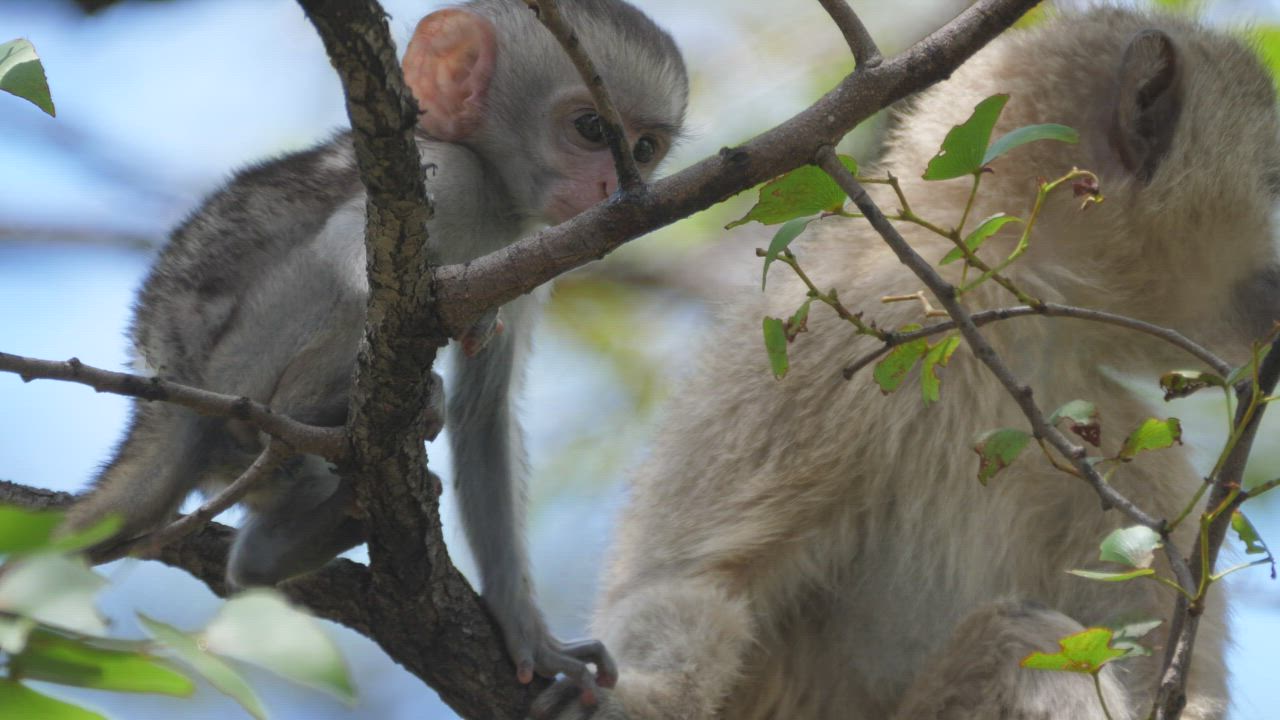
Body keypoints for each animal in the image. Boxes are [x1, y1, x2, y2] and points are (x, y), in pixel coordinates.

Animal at [63, 0, 687, 698]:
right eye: (590, 128)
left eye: (643, 148)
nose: (612, 185)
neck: (496, 199)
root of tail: (162, 382)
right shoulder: (448, 172)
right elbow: (353, 261)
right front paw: (467, 309)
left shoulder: (537, 245)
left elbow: (484, 413)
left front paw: (528, 635)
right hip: (238, 367)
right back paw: (315, 413)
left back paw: (272, 552)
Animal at [535, 8, 1278, 720]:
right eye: (1275, 181)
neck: (1008, 318)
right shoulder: (843, 332)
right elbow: (696, 582)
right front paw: (646, 696)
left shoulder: (1106, 428)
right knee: (1021, 640)